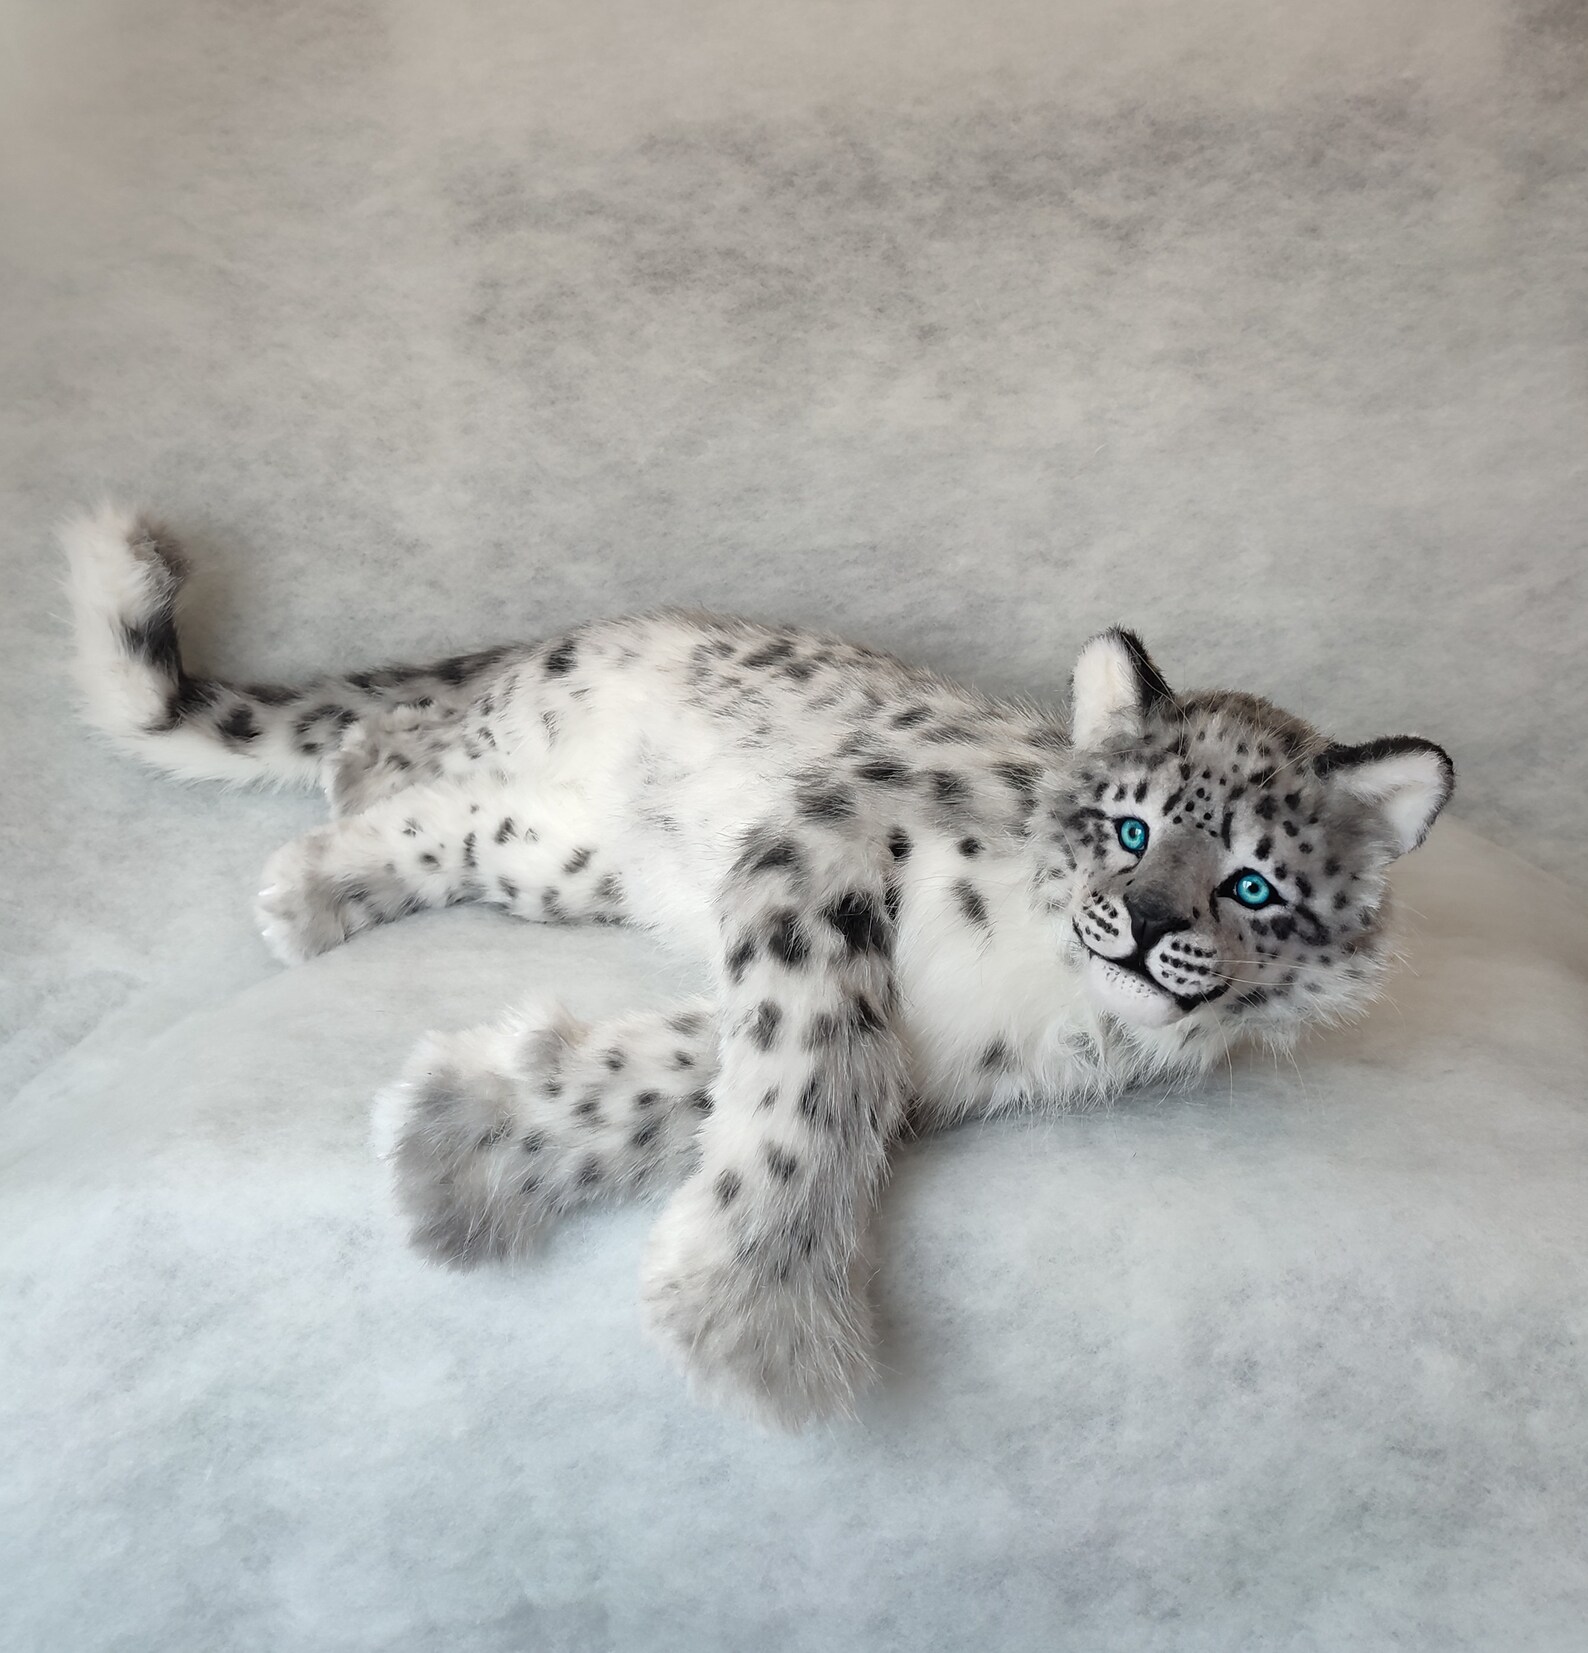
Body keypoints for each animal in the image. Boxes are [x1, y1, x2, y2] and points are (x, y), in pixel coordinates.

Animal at [62, 504, 1454, 1427]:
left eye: (1253, 885)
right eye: (1129, 827)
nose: (1147, 923)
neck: (1041, 983)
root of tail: (571, 632)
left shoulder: (939, 1051)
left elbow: (723, 1069)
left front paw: (458, 1138)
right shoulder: (815, 842)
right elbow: (814, 1053)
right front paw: (756, 1314)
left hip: (551, 849)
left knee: (437, 806)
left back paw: (319, 886)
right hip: (522, 748)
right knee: (377, 739)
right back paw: (315, 866)